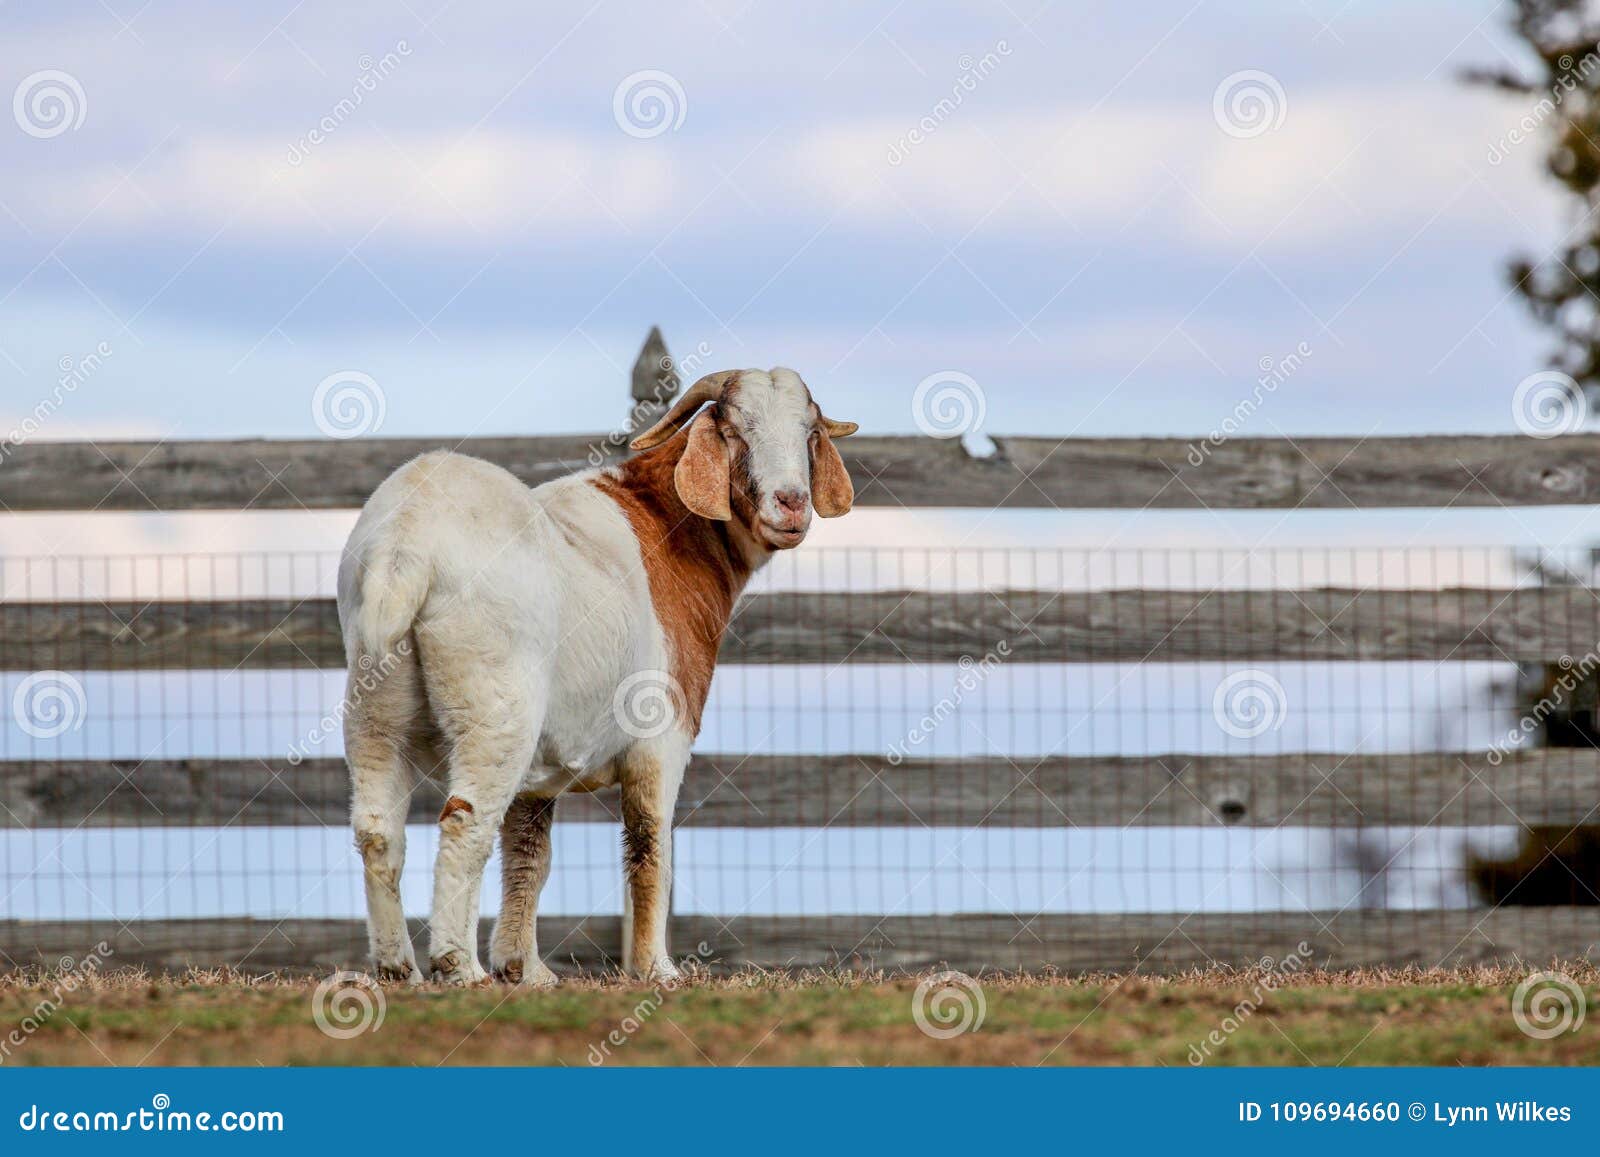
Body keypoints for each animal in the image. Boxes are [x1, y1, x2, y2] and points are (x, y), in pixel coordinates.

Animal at [337, 368, 857, 985]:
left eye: (810, 432)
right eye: (734, 430)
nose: (792, 504)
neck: (666, 529)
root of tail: (406, 548)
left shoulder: (540, 773)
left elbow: (530, 855)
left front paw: (526, 970)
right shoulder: (662, 740)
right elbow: (649, 847)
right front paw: (657, 970)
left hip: (374, 700)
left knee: (377, 830)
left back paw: (399, 968)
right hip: (495, 712)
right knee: (465, 821)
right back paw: (459, 966)